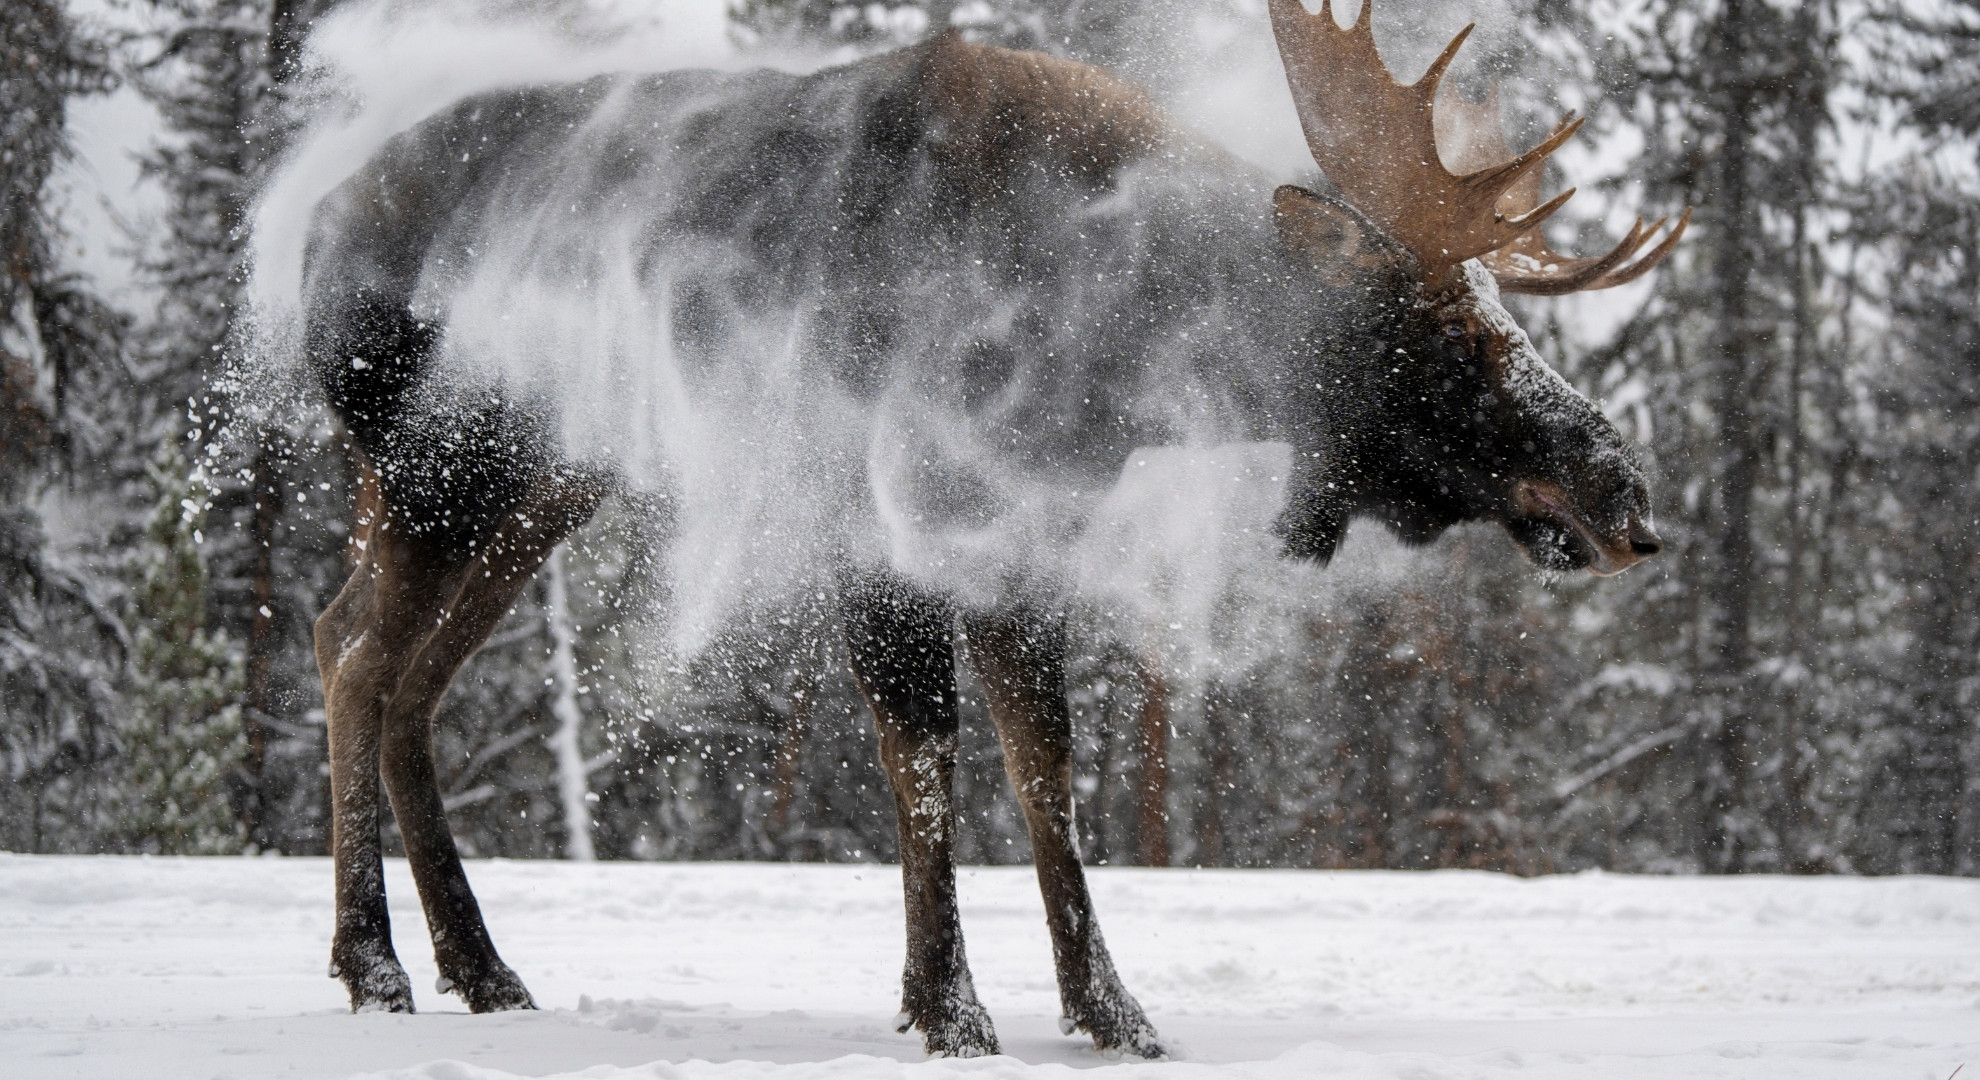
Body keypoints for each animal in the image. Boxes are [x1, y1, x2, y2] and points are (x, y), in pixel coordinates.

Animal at [296, 0, 1684, 1060]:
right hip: (442, 460)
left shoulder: (1019, 530)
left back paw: (484, 969)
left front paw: (1112, 1011)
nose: (1630, 503)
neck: (1110, 348)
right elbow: (924, 755)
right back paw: (376, 967)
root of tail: (304, 239)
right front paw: (951, 1010)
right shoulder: (874, 510)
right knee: (355, 651)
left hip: (539, 484)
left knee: (391, 665)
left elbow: (1045, 763)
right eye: (1444, 329)